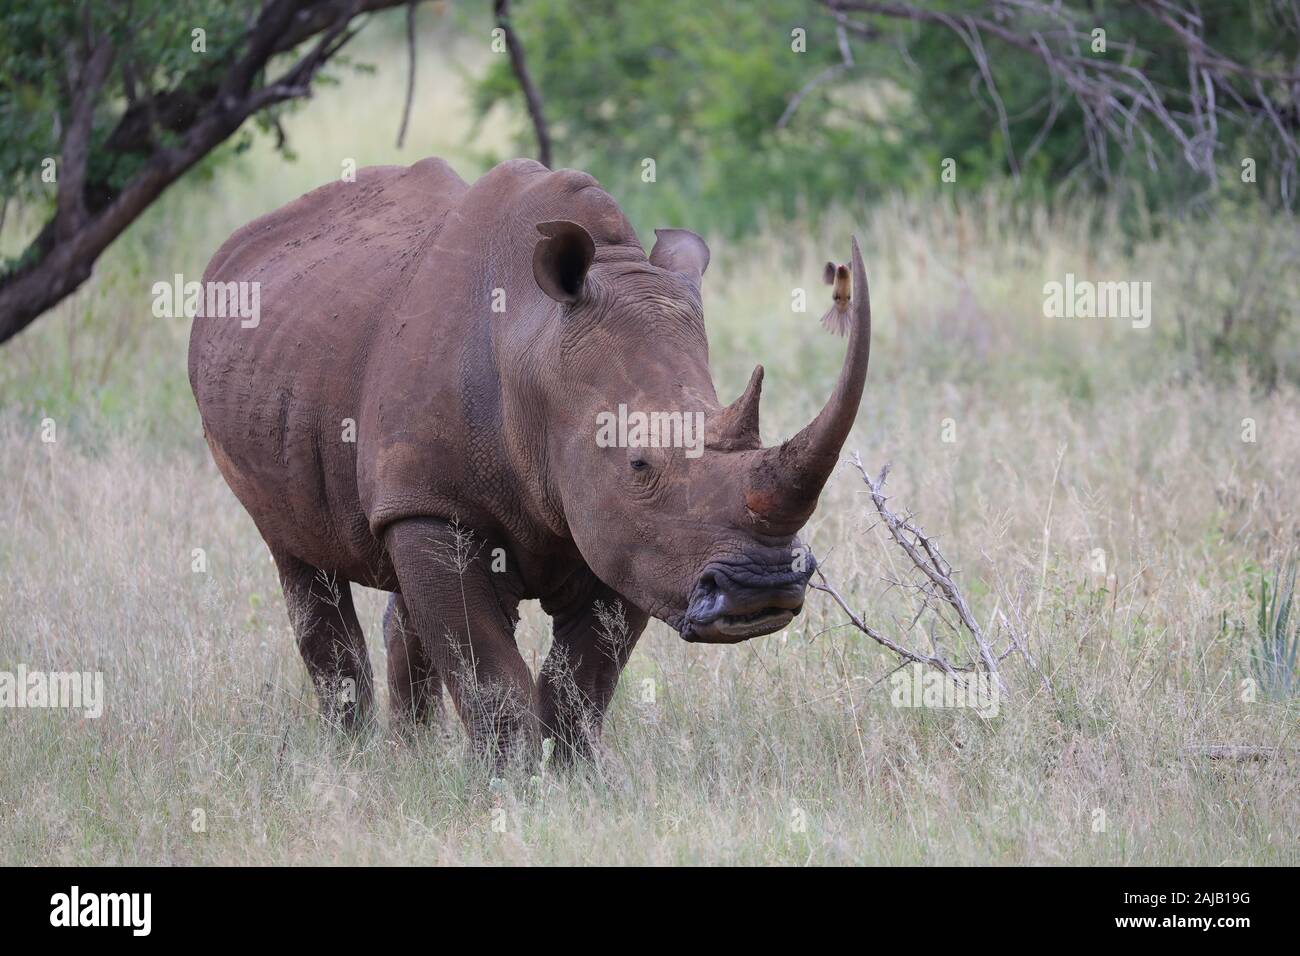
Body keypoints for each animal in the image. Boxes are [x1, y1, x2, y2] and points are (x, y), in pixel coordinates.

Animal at [189, 157, 870, 758]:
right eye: (640, 464)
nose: (762, 590)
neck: (535, 344)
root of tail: (237, 247)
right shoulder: (460, 509)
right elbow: (489, 674)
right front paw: (511, 788)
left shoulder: (631, 538)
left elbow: (583, 680)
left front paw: (575, 779)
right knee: (298, 558)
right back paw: (352, 758)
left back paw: (411, 755)